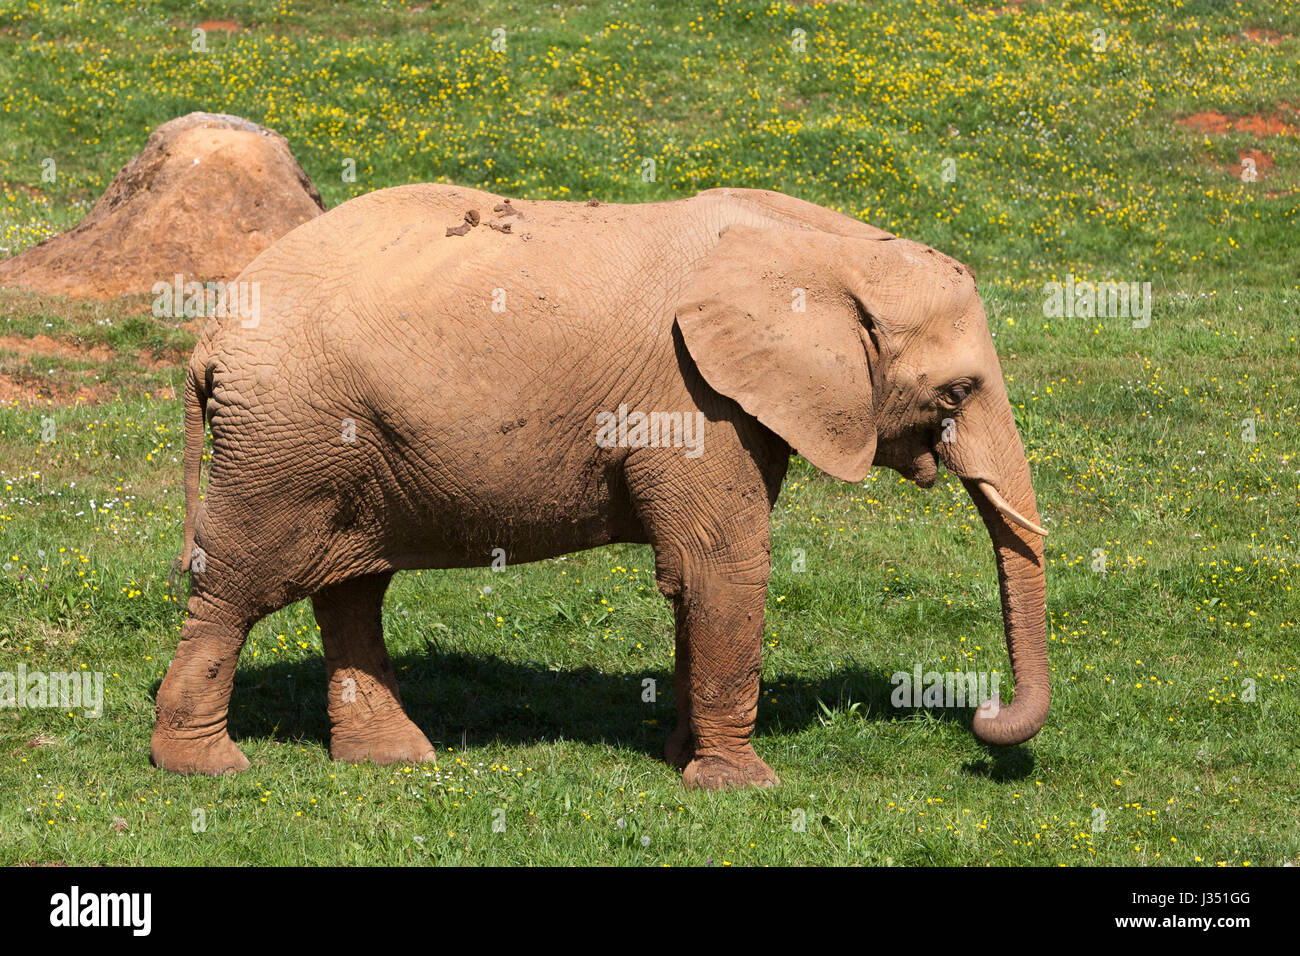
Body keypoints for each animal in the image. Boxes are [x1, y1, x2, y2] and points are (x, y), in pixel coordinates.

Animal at [151, 183, 1049, 789]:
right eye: (958, 392)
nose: (981, 721)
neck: (831, 247)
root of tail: (209, 339)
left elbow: (696, 579)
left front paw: (682, 760)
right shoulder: (693, 399)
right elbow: (724, 566)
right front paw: (742, 787)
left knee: (352, 587)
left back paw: (393, 761)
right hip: (286, 439)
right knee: (237, 586)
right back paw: (207, 768)